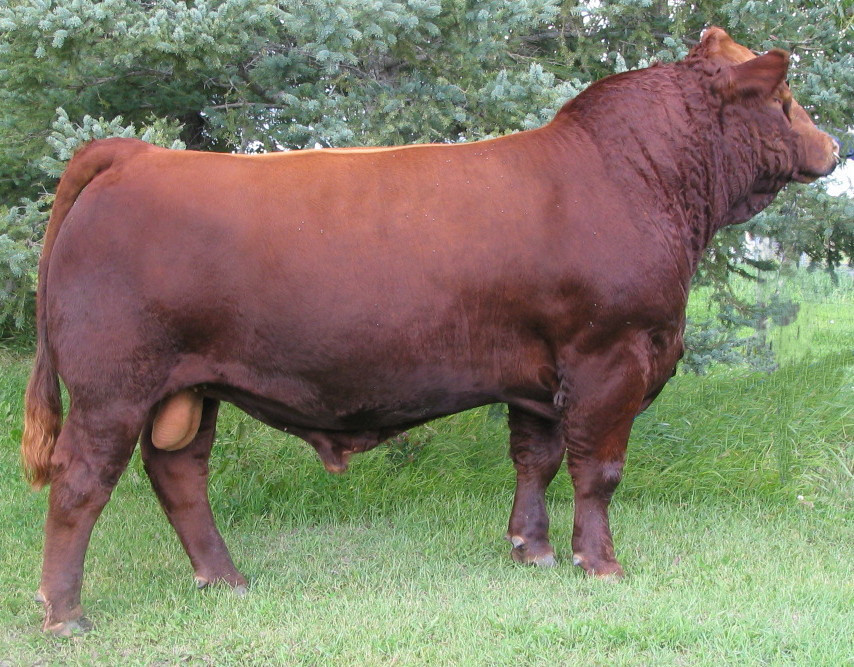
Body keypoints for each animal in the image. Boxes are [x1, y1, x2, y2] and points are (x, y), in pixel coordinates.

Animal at [22, 27, 838, 635]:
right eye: (786, 100)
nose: (832, 149)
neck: (638, 177)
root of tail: (136, 152)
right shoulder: (611, 355)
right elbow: (598, 470)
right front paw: (600, 563)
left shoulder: (540, 374)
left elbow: (536, 459)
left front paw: (531, 549)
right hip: (111, 385)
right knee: (80, 481)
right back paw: (65, 613)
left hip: (189, 387)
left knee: (179, 474)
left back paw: (225, 579)